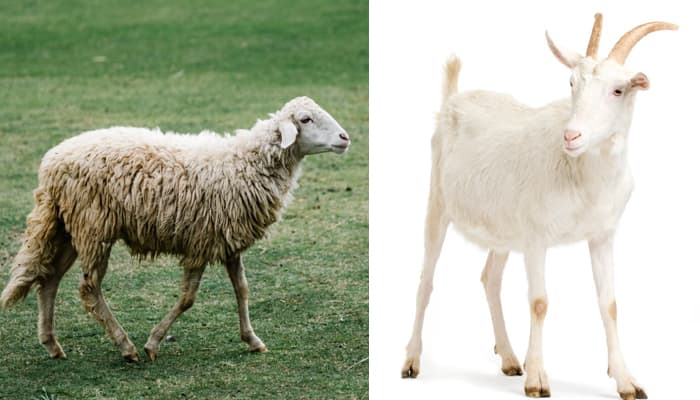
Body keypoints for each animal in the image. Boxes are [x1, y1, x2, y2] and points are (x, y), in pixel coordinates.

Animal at [0, 96, 350, 362]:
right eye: (305, 119)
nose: (345, 138)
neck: (245, 163)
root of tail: (51, 163)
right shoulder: (201, 243)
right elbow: (188, 299)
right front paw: (152, 343)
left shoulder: (227, 240)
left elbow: (242, 289)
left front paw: (252, 339)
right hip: (93, 226)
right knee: (88, 289)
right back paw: (126, 347)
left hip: (70, 227)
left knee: (49, 280)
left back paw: (52, 344)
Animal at [400, 14, 676, 399]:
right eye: (572, 82)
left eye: (618, 90)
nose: (571, 136)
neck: (582, 174)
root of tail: (453, 99)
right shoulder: (535, 237)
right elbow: (540, 302)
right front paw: (537, 380)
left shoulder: (602, 235)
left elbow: (610, 304)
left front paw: (626, 381)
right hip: (438, 203)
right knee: (426, 281)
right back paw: (411, 362)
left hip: (501, 228)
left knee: (490, 278)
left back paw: (509, 358)